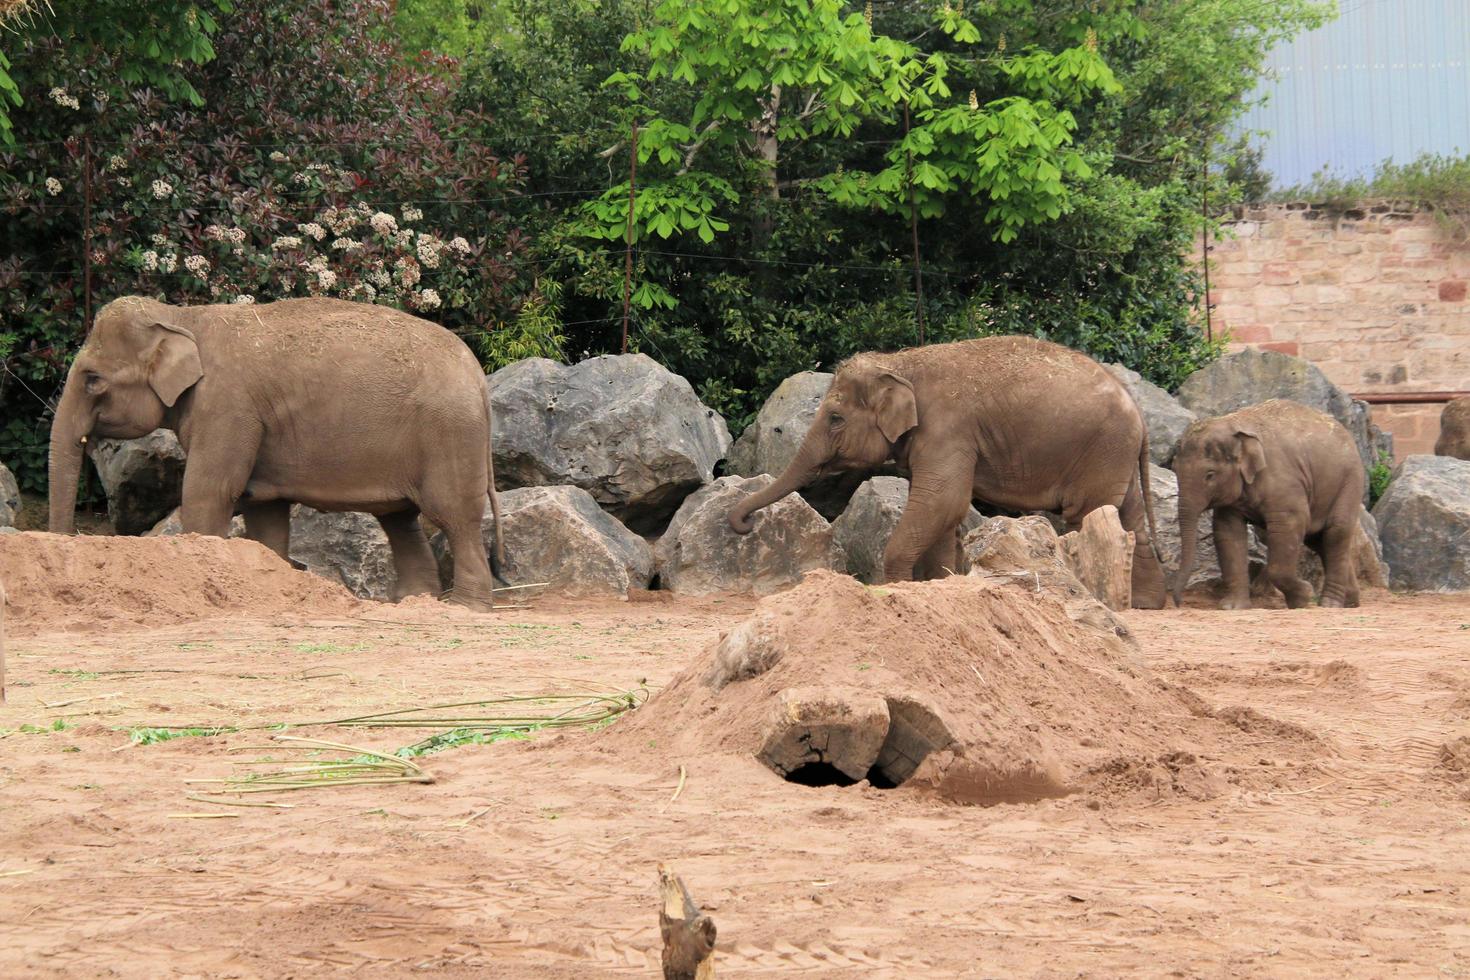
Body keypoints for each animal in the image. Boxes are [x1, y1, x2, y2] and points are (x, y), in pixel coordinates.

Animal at [48, 295, 505, 611]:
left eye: (92, 379)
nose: (67, 542)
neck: (182, 317)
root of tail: (478, 376)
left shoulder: (227, 408)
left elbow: (209, 492)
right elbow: (263, 510)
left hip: (450, 435)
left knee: (455, 517)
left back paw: (465, 608)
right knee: (401, 520)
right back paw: (414, 603)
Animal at [726, 336, 1168, 608]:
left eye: (835, 418)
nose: (745, 524)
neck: (899, 361)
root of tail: (1138, 409)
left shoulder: (947, 430)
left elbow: (942, 501)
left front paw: (899, 587)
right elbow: (942, 510)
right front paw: (939, 585)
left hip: (1101, 450)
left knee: (1090, 514)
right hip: (1115, 455)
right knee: (1129, 518)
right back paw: (1144, 604)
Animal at [1171, 399, 1363, 610]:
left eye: (1210, 475)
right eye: (1174, 468)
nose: (1178, 603)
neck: (1235, 424)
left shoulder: (1285, 484)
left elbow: (1290, 526)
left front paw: (1303, 597)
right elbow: (1228, 532)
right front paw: (1233, 607)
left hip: (1350, 481)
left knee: (1336, 532)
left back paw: (1330, 604)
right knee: (1319, 540)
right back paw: (1350, 602)